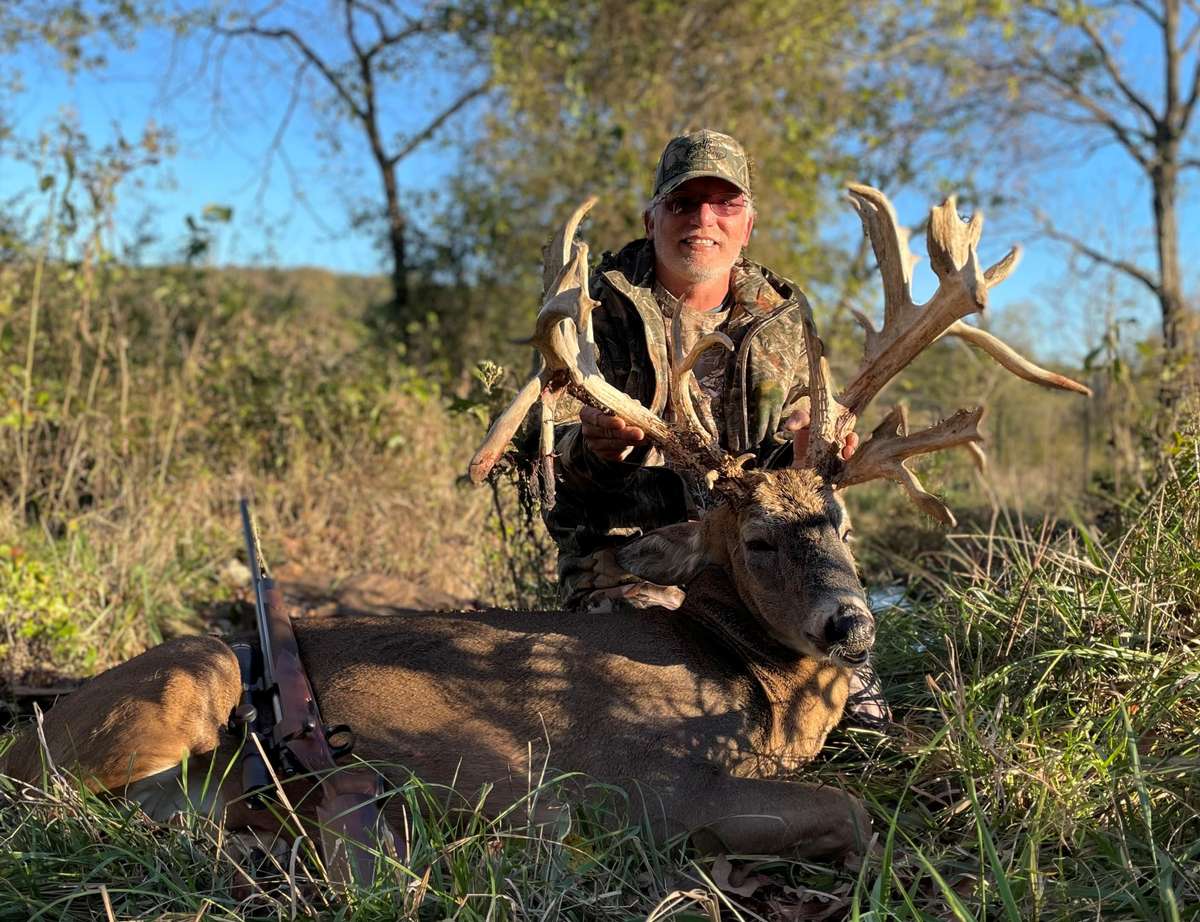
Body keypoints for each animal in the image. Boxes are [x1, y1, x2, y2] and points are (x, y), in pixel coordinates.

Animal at [1, 185, 1088, 869]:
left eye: (842, 520)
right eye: (756, 537)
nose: (849, 623)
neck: (752, 689)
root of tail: (32, 730)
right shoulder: (667, 788)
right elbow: (853, 811)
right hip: (186, 682)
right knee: (58, 805)